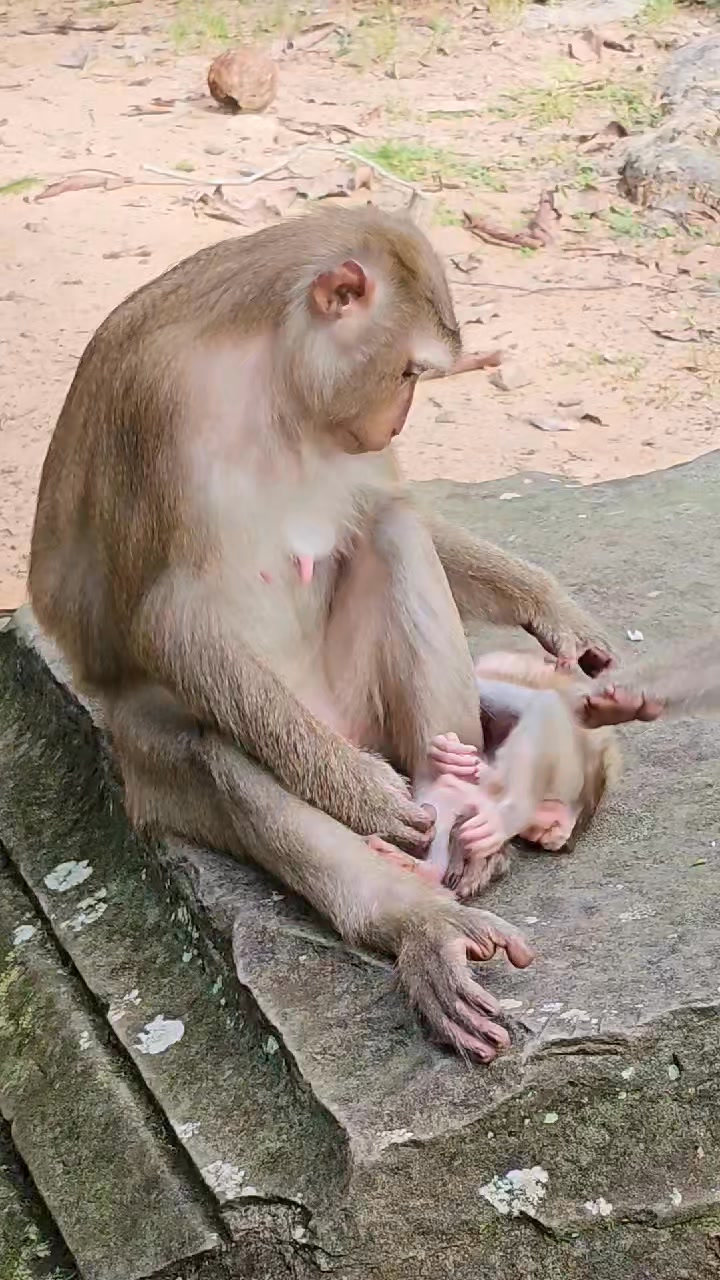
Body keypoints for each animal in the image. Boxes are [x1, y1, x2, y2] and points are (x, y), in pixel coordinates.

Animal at [29, 204, 613, 1063]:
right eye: (407, 372)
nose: (396, 421)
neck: (268, 369)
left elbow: (384, 505)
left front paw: (552, 607)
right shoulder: (159, 406)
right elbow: (169, 618)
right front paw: (358, 793)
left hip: (365, 704)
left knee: (393, 531)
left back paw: (466, 830)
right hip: (158, 771)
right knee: (226, 750)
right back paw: (416, 922)